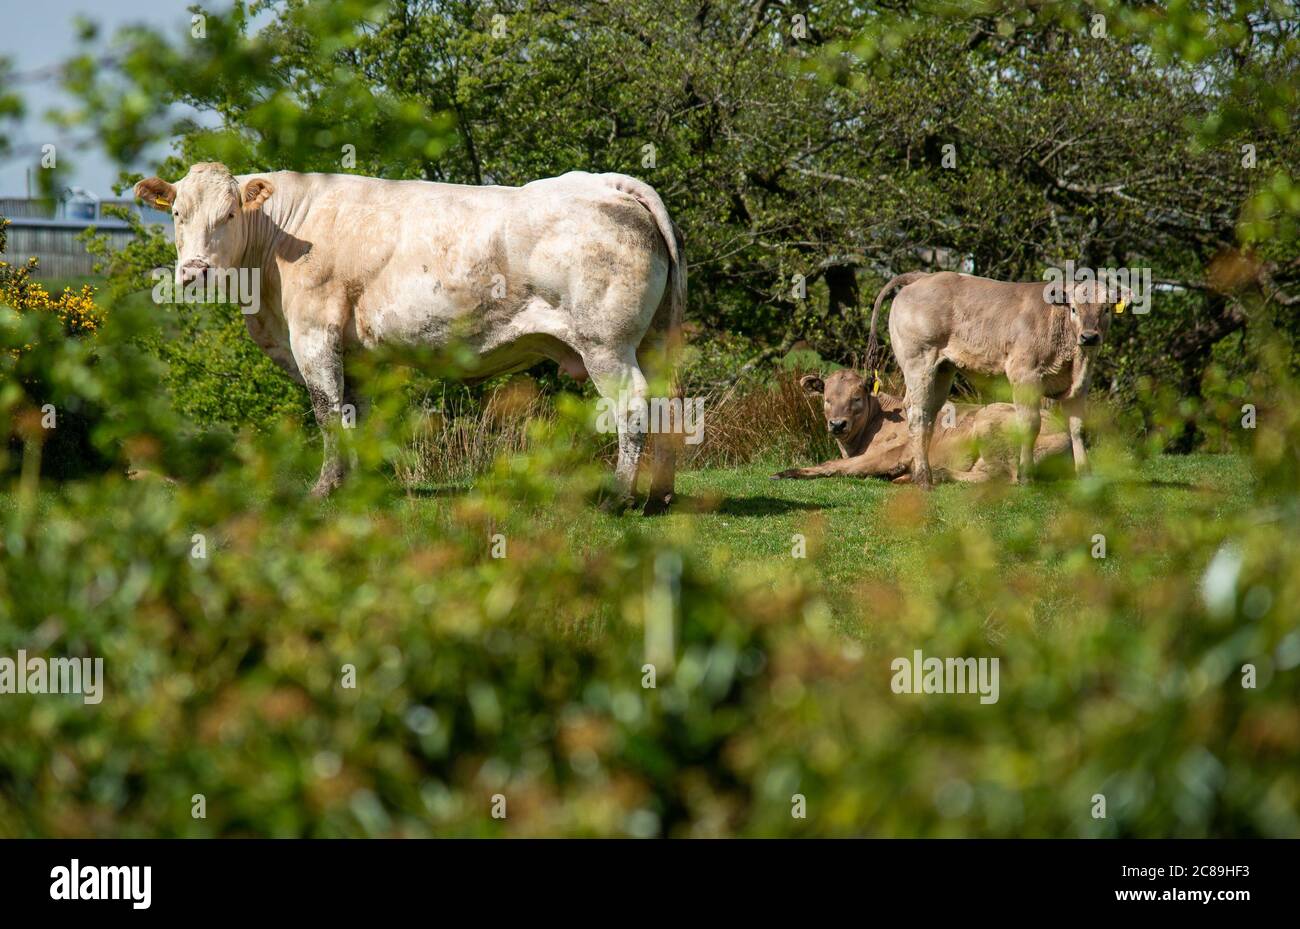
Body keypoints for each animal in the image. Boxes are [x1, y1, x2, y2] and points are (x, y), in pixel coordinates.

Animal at [134, 163, 686, 513]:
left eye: (228, 214)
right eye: (178, 215)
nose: (195, 272)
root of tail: (608, 183)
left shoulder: (313, 335)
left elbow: (326, 412)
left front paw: (323, 490)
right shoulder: (354, 353)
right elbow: (352, 415)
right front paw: (356, 486)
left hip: (606, 342)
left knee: (632, 404)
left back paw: (618, 497)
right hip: (654, 340)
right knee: (667, 402)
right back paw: (659, 497)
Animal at [772, 369, 1070, 482]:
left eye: (856, 398)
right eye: (826, 399)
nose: (837, 424)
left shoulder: (892, 451)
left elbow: (836, 465)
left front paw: (787, 472)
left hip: (990, 421)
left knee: (1003, 476)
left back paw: (937, 474)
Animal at [865, 270, 1123, 489]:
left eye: (1106, 309)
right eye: (1074, 309)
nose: (1089, 337)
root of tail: (924, 276)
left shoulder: (1079, 385)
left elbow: (1078, 427)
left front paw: (1085, 475)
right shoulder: (1024, 374)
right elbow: (1030, 424)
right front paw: (1025, 476)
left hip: (942, 370)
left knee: (928, 412)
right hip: (919, 361)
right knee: (917, 412)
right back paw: (923, 479)